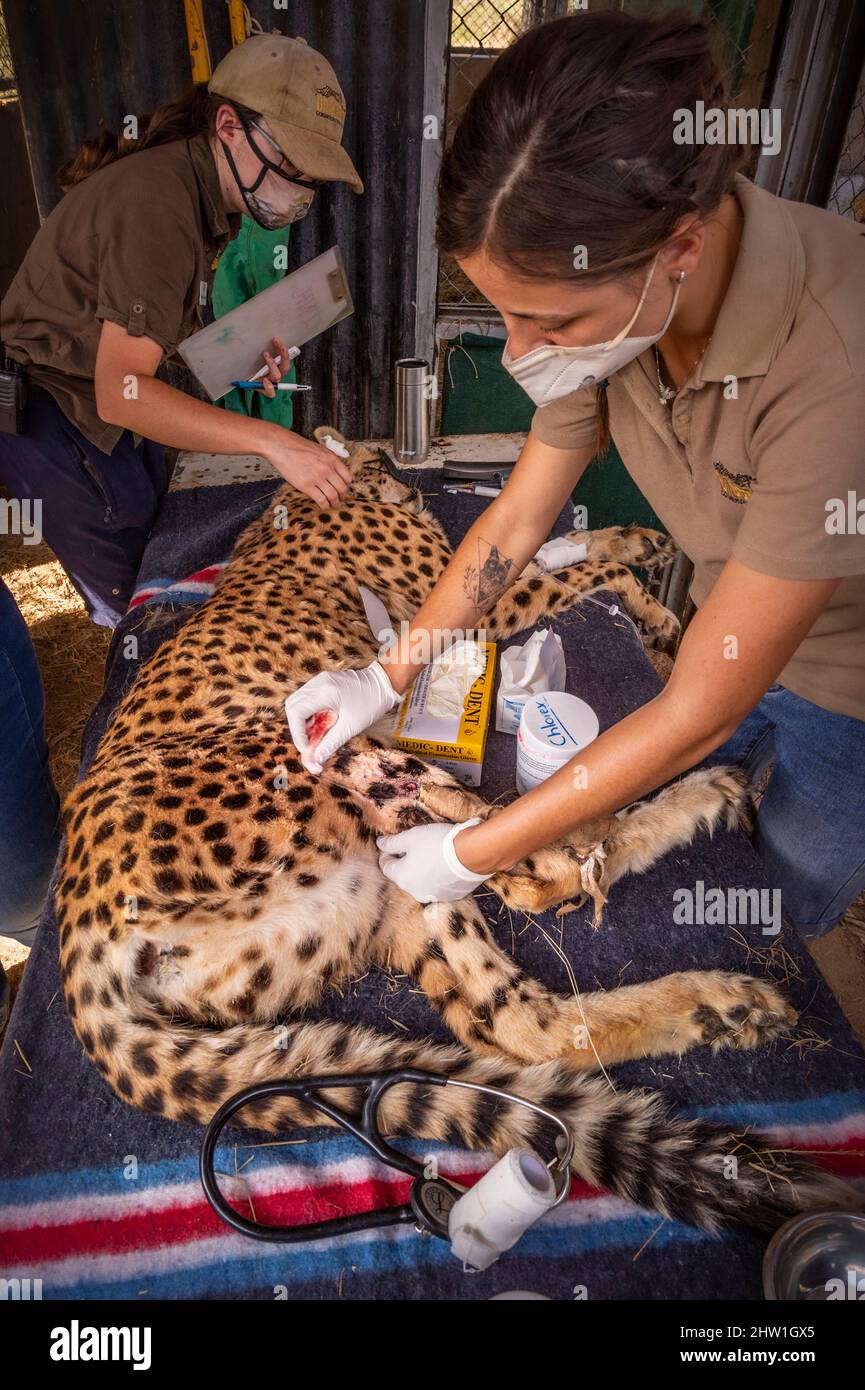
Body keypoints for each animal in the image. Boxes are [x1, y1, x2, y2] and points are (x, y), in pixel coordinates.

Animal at [56, 428, 859, 1236]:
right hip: (318, 750)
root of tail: (78, 943)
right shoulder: (466, 612)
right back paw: (676, 817)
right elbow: (584, 571)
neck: (322, 487)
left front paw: (640, 547)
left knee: (521, 1021)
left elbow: (565, 549)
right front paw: (651, 606)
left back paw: (721, 995)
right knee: (534, 867)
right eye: (375, 454)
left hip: (381, 890)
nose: (400, 465)